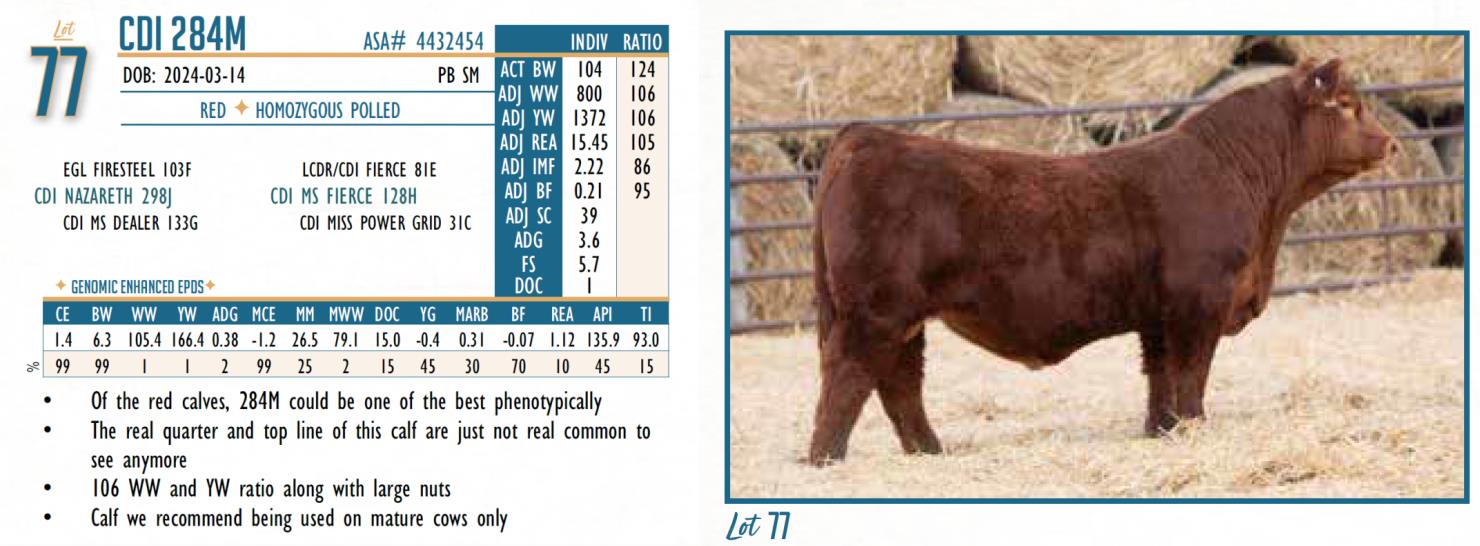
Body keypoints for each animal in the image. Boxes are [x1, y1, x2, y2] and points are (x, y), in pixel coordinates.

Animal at [807, 59, 1396, 465]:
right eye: (1346, 104)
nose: (1391, 144)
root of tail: (868, 135)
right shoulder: (1198, 303)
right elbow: (1191, 375)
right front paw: (1195, 429)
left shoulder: (1158, 315)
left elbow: (1160, 378)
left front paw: (1161, 431)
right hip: (875, 312)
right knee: (848, 377)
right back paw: (826, 459)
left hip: (904, 320)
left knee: (900, 384)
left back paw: (929, 452)